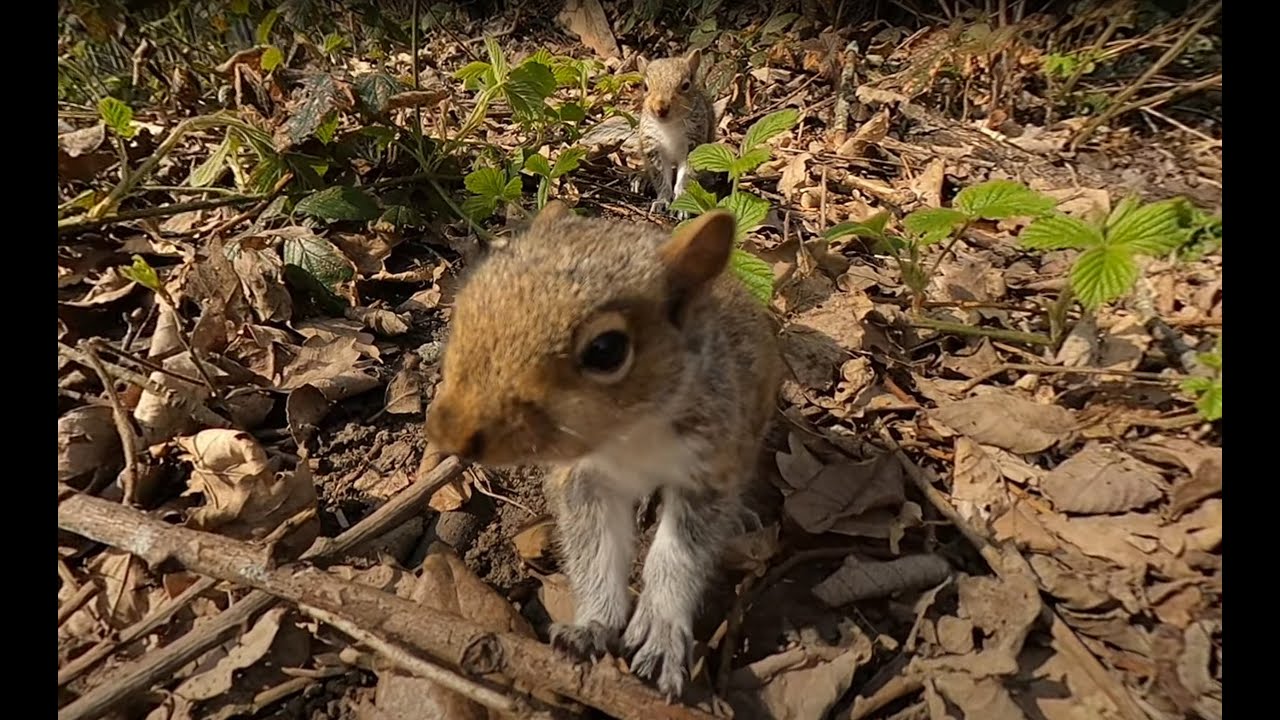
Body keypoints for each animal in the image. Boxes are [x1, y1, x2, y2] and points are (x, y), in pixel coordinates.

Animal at [425, 201, 782, 699]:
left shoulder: (709, 468)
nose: (448, 432)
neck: (627, 435)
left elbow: (679, 555)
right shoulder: (582, 479)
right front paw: (592, 625)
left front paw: (661, 632)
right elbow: (594, 551)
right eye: (467, 303)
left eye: (607, 350)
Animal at [636, 49, 717, 215]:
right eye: (645, 87)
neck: (670, 126)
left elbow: (686, 176)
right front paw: (662, 200)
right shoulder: (653, 147)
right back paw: (642, 179)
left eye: (686, 85)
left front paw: (681, 202)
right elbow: (661, 177)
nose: (660, 108)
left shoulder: (693, 146)